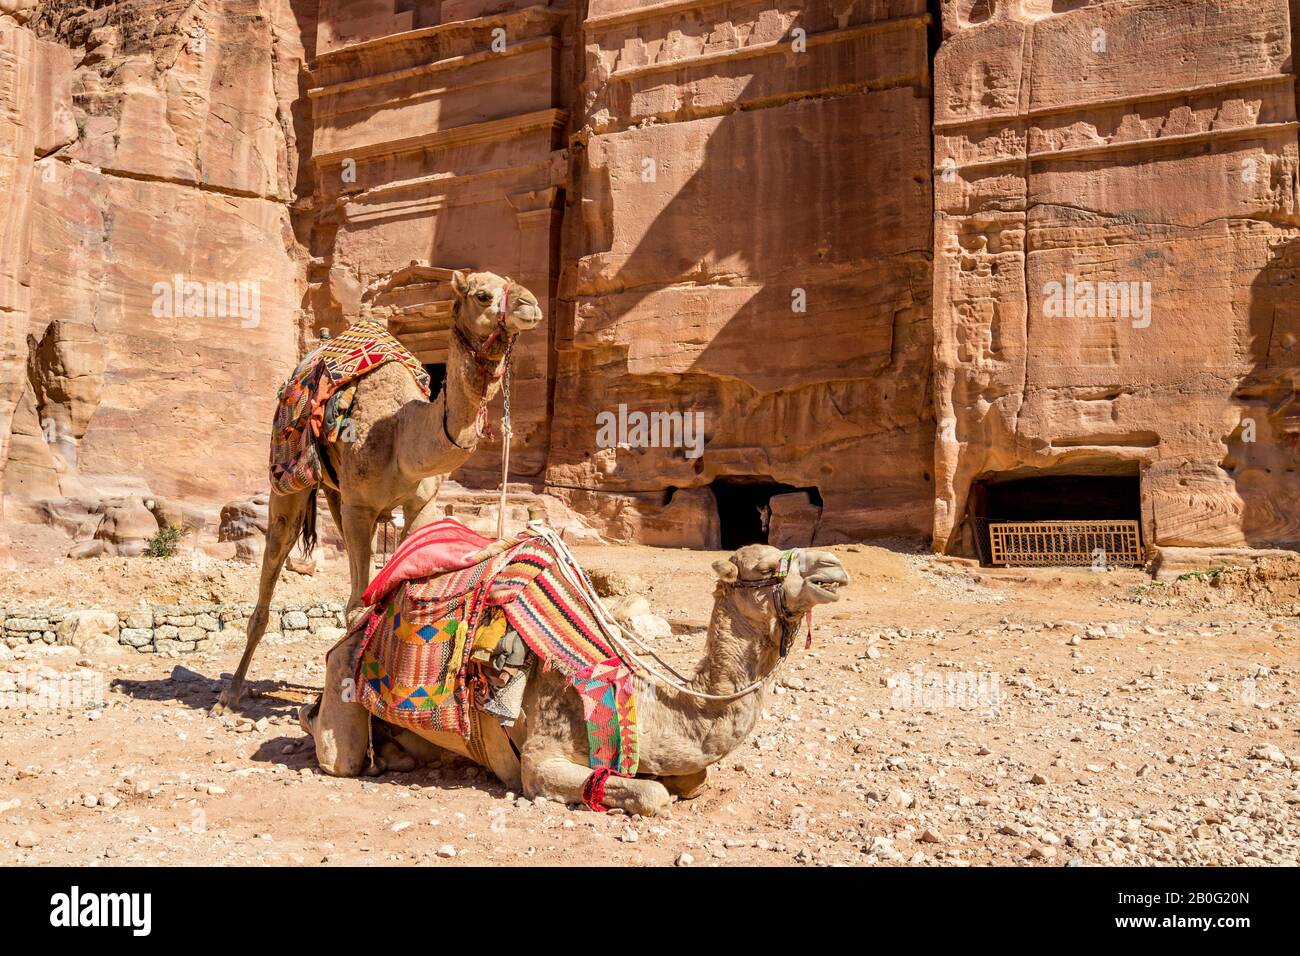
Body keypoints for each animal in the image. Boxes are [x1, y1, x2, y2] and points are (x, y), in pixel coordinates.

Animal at [215, 271, 542, 713]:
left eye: (511, 282)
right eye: (482, 295)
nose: (531, 304)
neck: (403, 435)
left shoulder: (421, 504)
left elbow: (403, 587)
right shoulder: (360, 506)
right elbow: (358, 606)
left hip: (335, 494)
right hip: (288, 482)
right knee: (274, 556)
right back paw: (229, 693)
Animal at [300, 543, 850, 815]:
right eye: (766, 564)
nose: (834, 567)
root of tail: (367, 613)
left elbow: (694, 780)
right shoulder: (542, 757)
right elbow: (652, 796)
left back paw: (399, 755)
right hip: (343, 672)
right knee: (337, 748)